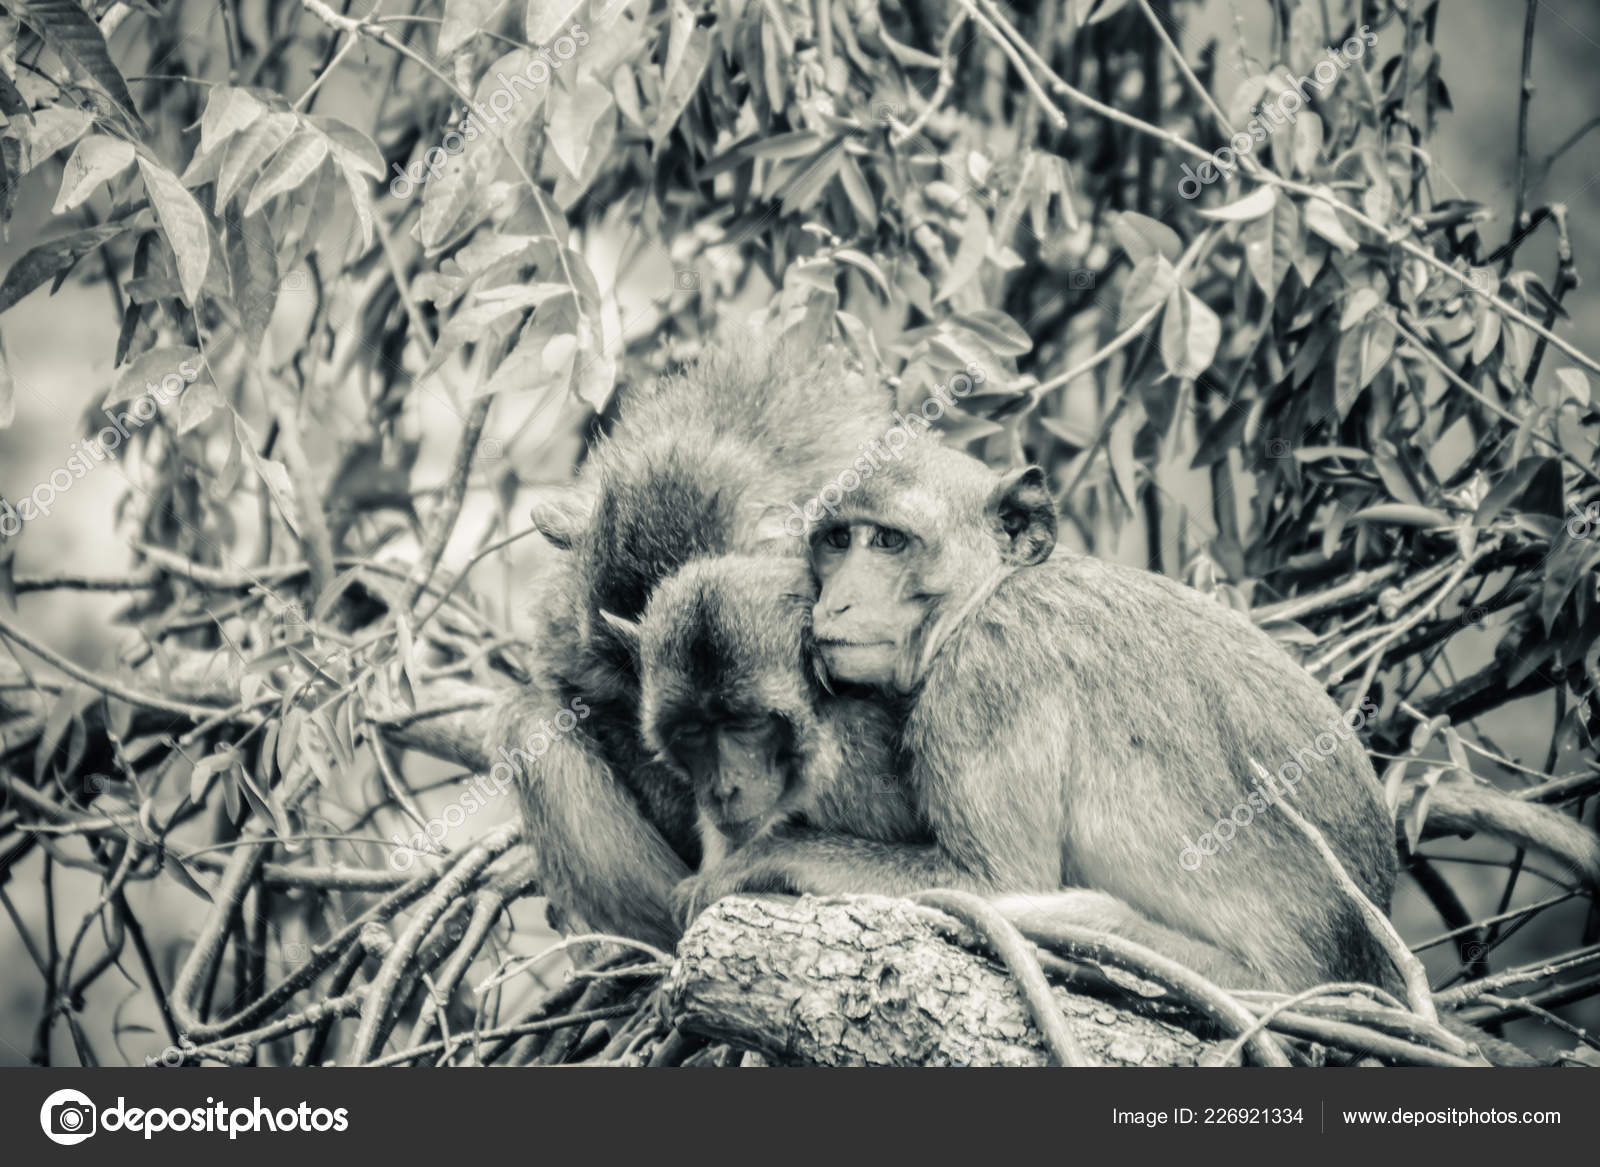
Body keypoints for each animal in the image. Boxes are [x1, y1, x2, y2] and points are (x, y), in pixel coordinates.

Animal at [677, 437, 1600, 994]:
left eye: (890, 542)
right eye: (838, 539)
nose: (835, 600)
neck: (990, 594)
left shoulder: (990, 674)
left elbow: (993, 879)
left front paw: (754, 863)